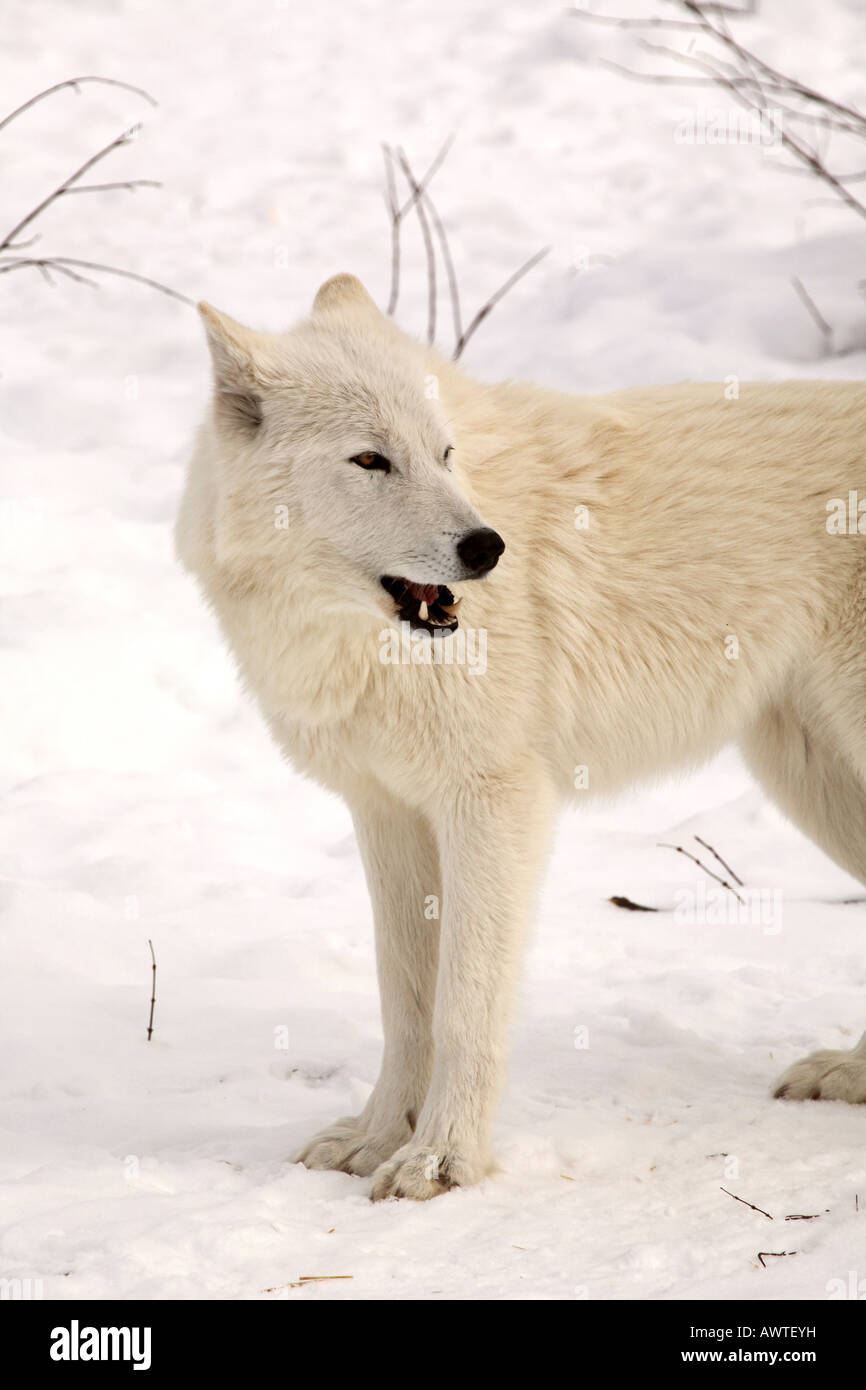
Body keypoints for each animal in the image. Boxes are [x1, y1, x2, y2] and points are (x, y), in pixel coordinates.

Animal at [176, 272, 866, 1200]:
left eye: (444, 453)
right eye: (371, 460)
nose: (486, 547)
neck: (362, 643)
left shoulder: (495, 805)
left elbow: (464, 1006)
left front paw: (441, 1159)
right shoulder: (388, 813)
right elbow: (406, 1003)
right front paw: (374, 1137)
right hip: (810, 782)